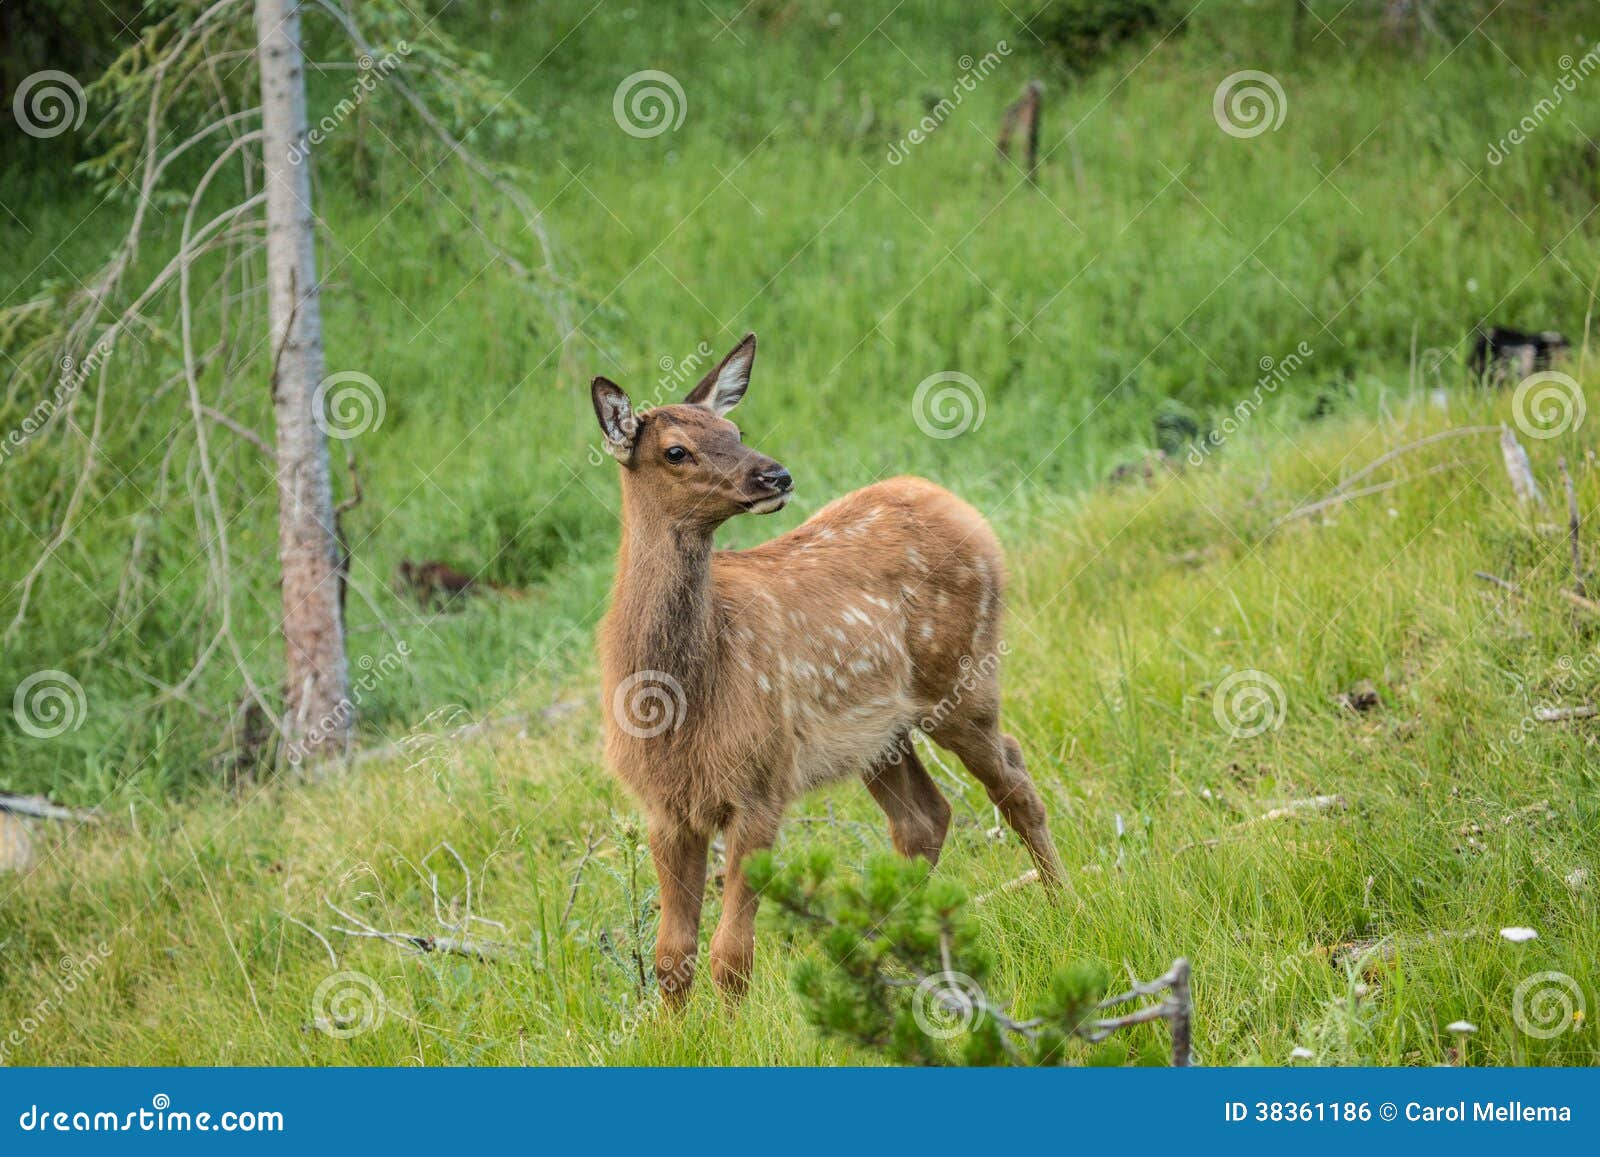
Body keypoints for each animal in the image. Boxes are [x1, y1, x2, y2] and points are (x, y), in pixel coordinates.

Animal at [591, 333, 1064, 1006]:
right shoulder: (664, 806)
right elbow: (671, 955)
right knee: (924, 819)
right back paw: (871, 954)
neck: (678, 697)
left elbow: (731, 954)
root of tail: (960, 508)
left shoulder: (762, 780)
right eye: (675, 450)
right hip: (880, 734)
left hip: (963, 679)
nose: (775, 474)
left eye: (734, 428)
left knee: (1015, 781)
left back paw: (1066, 905)